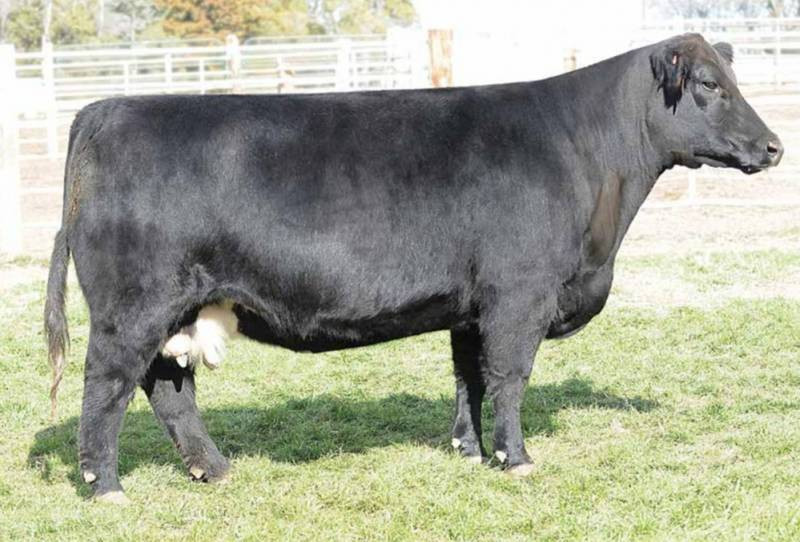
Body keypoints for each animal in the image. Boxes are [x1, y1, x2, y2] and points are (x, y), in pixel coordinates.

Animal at [44, 34, 782, 503]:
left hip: (177, 309)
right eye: (710, 85)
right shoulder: (520, 296)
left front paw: (469, 450)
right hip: (131, 308)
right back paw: (106, 488)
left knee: (169, 389)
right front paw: (516, 460)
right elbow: (509, 379)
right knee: (105, 387)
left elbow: (467, 377)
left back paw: (215, 471)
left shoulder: (471, 306)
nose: (775, 147)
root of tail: (101, 111)